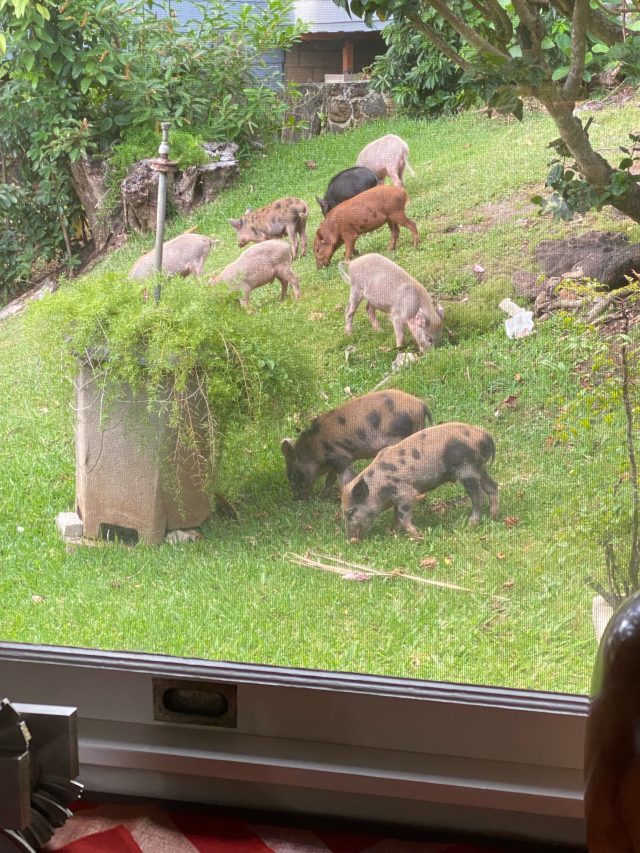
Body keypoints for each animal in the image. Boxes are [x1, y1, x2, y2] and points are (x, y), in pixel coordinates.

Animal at [281, 390, 432, 501]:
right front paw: (323, 496)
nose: (296, 499)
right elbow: (330, 478)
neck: (315, 448)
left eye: (290, 474)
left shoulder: (341, 459)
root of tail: (421, 404)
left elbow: (340, 478)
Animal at [341, 422, 499, 541]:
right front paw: (392, 532)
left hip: (468, 471)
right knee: (493, 486)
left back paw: (470, 525)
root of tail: (485, 435)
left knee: (479, 496)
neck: (379, 487)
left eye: (350, 512)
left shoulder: (407, 493)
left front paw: (418, 536)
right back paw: (493, 517)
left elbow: (403, 516)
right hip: (479, 468)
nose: (351, 541)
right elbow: (396, 515)